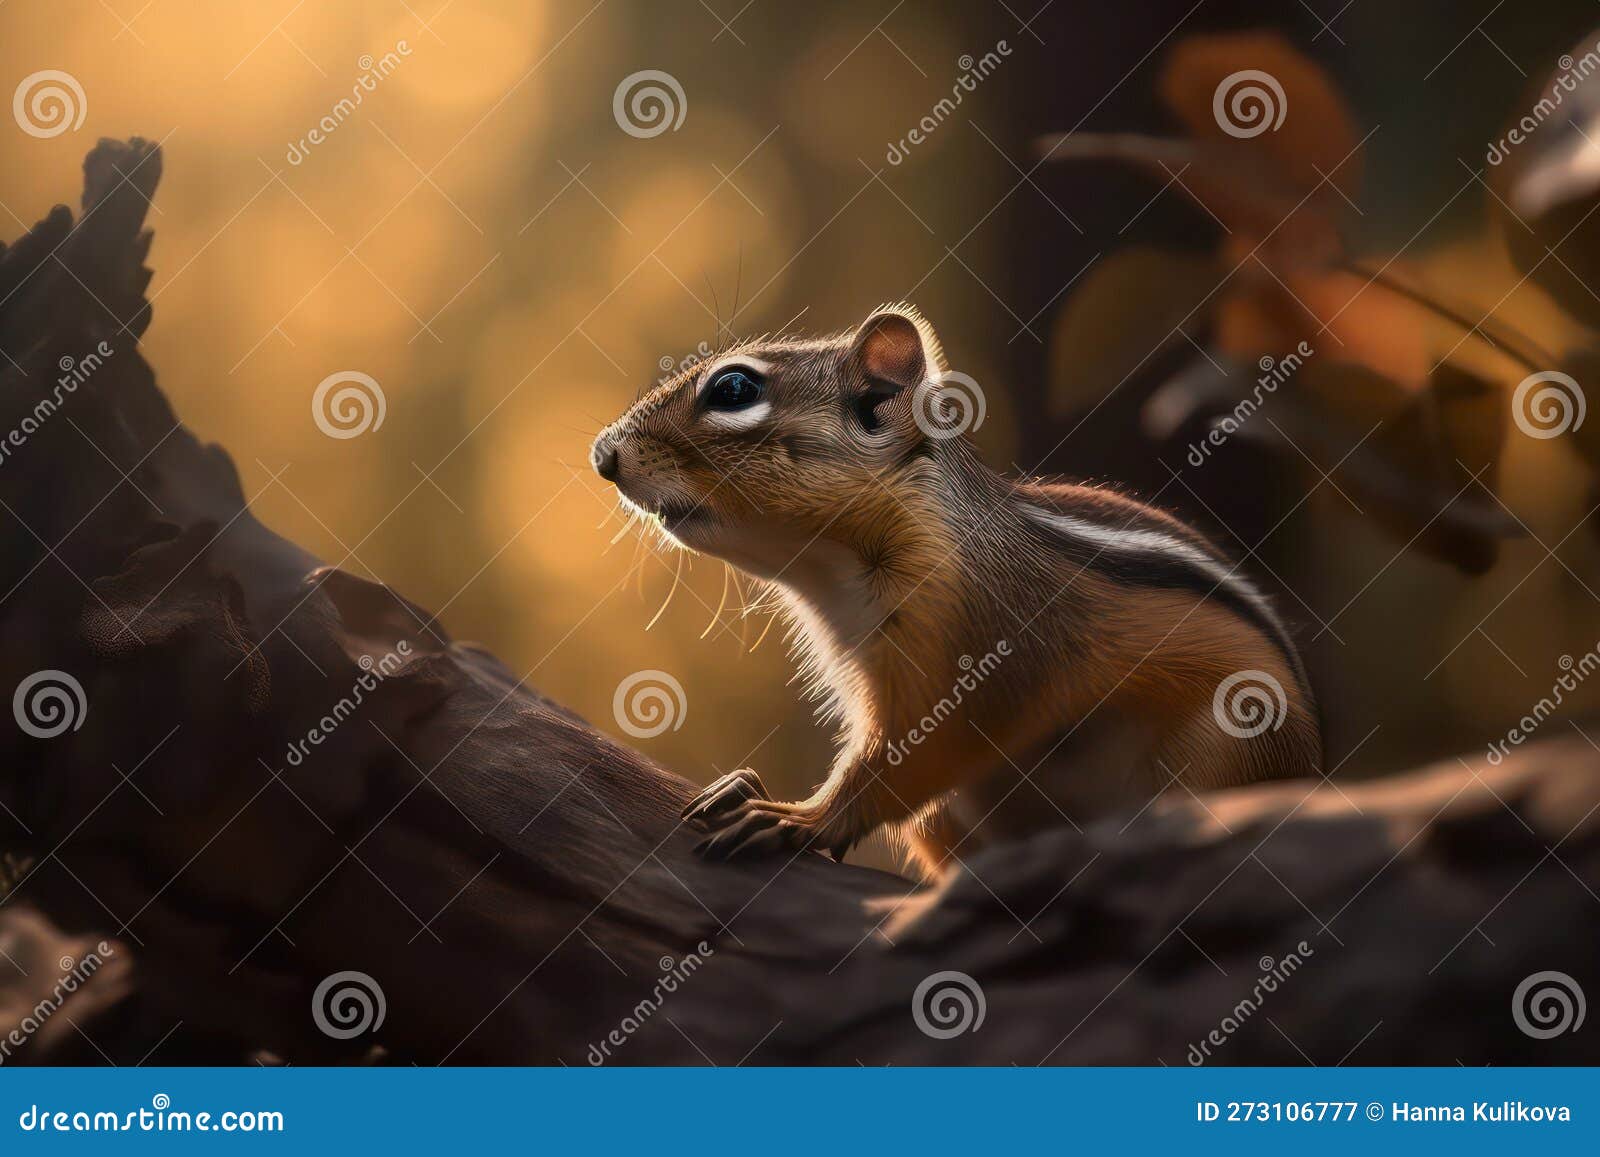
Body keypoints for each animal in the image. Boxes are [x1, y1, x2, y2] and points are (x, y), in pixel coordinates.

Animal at [591, 304, 1321, 882]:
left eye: (734, 388)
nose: (602, 454)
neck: (832, 575)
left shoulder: (972, 648)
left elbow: (920, 747)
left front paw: (801, 815)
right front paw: (748, 783)